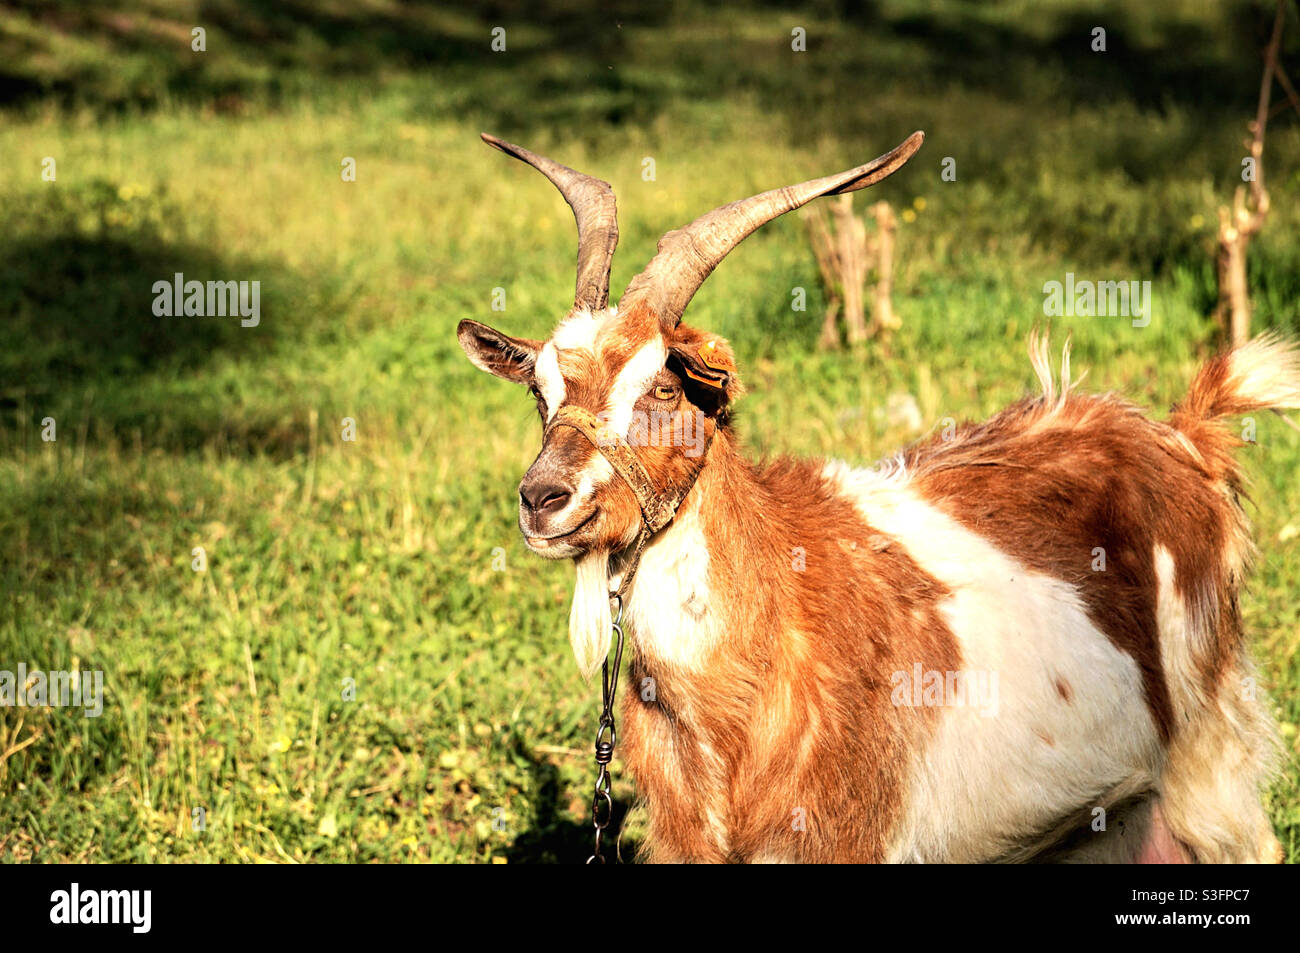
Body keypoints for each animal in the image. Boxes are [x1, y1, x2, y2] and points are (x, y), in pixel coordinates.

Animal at [457, 131, 1296, 863]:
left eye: (664, 386)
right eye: (541, 389)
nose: (543, 497)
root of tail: (1181, 435)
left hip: (1207, 754)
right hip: (1102, 821)